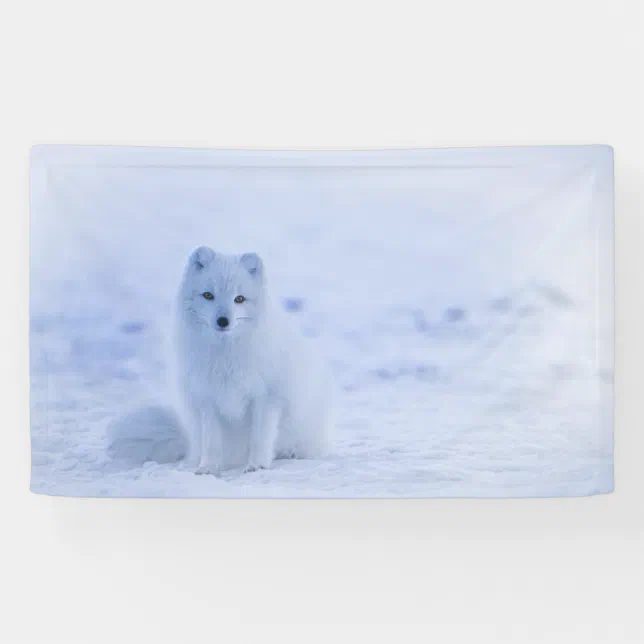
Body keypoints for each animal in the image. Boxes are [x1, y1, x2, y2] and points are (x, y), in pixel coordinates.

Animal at [107, 246, 332, 475]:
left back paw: (291, 453)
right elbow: (212, 442)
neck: (225, 356)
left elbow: (260, 438)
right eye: (208, 295)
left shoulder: (266, 397)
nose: (223, 321)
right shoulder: (207, 399)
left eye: (239, 299)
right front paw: (208, 468)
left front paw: (257, 465)